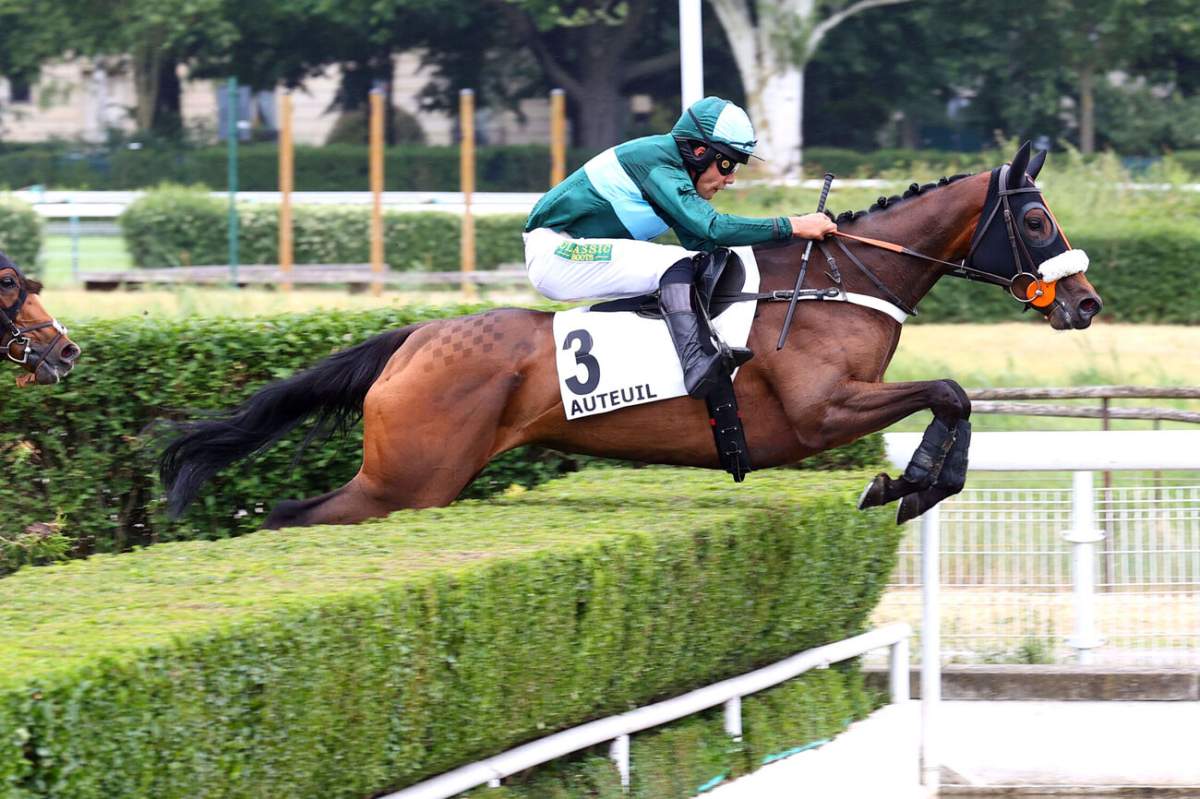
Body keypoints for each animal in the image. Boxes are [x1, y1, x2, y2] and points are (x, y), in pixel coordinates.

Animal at [160, 142, 1103, 528]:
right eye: (1035, 218)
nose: (1086, 303)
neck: (833, 284)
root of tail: (414, 340)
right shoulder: (820, 412)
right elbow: (951, 392)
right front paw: (905, 484)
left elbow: (953, 400)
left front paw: (916, 482)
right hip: (407, 481)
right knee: (293, 514)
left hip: (417, 481)